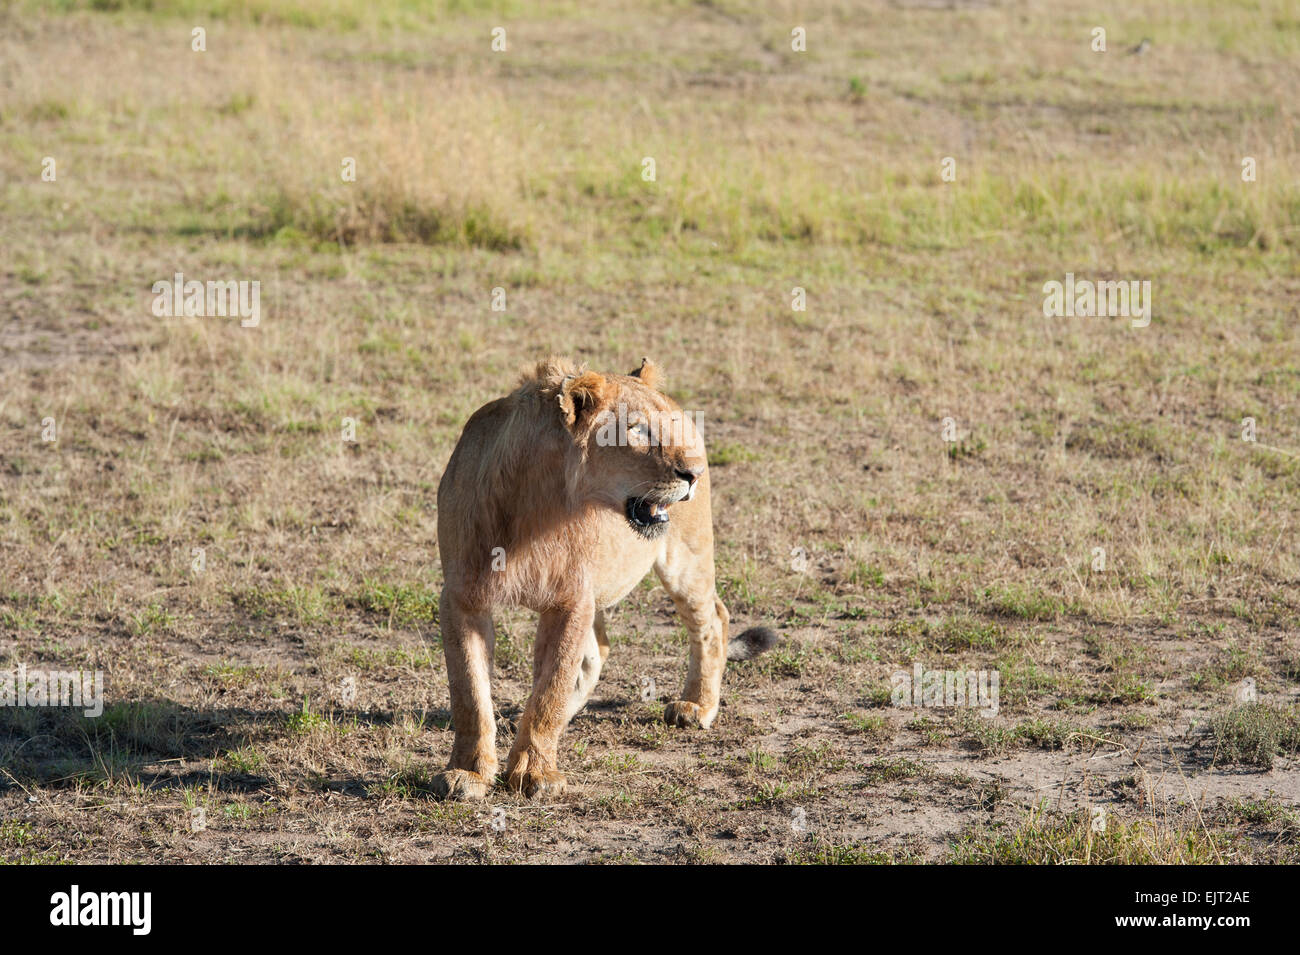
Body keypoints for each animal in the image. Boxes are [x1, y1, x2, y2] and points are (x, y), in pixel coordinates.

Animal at [432, 357, 777, 800]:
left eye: (665, 426)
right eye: (637, 430)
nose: (694, 474)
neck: (537, 504)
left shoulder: (571, 599)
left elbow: (550, 687)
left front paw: (534, 771)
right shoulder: (462, 597)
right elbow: (470, 693)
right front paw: (469, 772)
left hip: (686, 557)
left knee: (712, 619)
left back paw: (697, 705)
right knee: (599, 650)